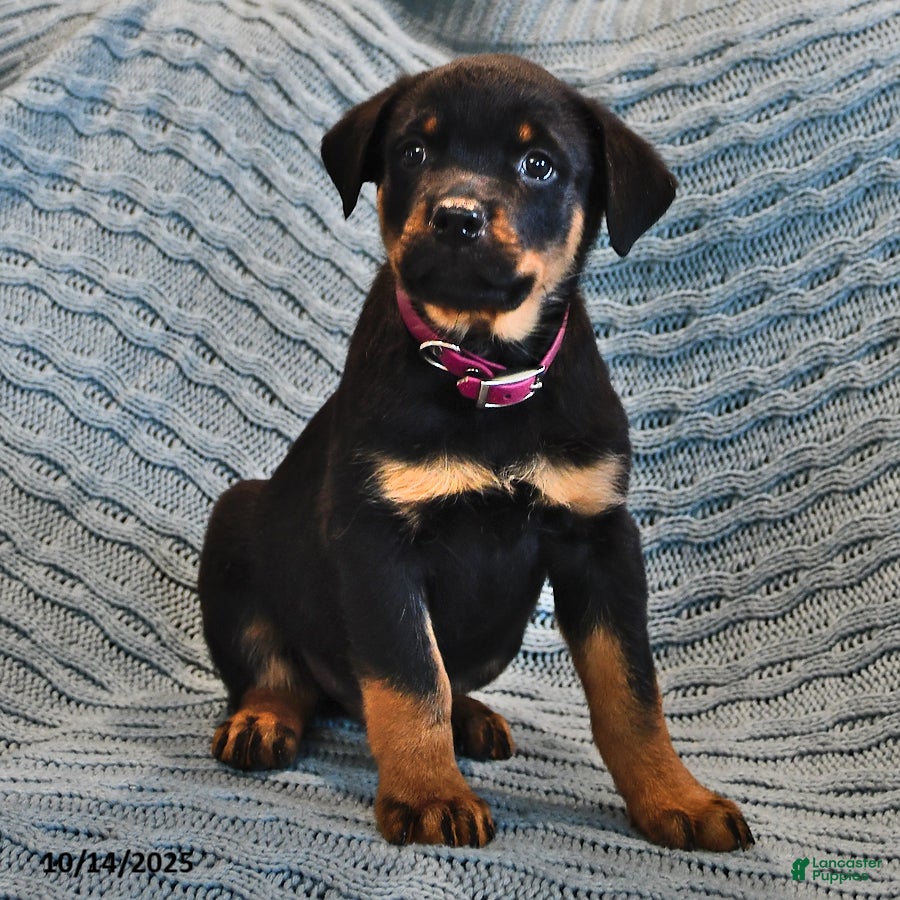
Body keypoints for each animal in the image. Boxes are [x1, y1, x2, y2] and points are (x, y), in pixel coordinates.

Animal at [198, 54, 753, 852]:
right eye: (414, 152)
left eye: (538, 164)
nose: (456, 216)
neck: (482, 367)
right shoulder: (378, 540)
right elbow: (408, 679)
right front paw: (429, 794)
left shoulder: (599, 537)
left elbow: (630, 691)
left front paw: (675, 797)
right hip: (237, 522)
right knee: (279, 669)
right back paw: (264, 720)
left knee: (445, 675)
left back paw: (472, 718)